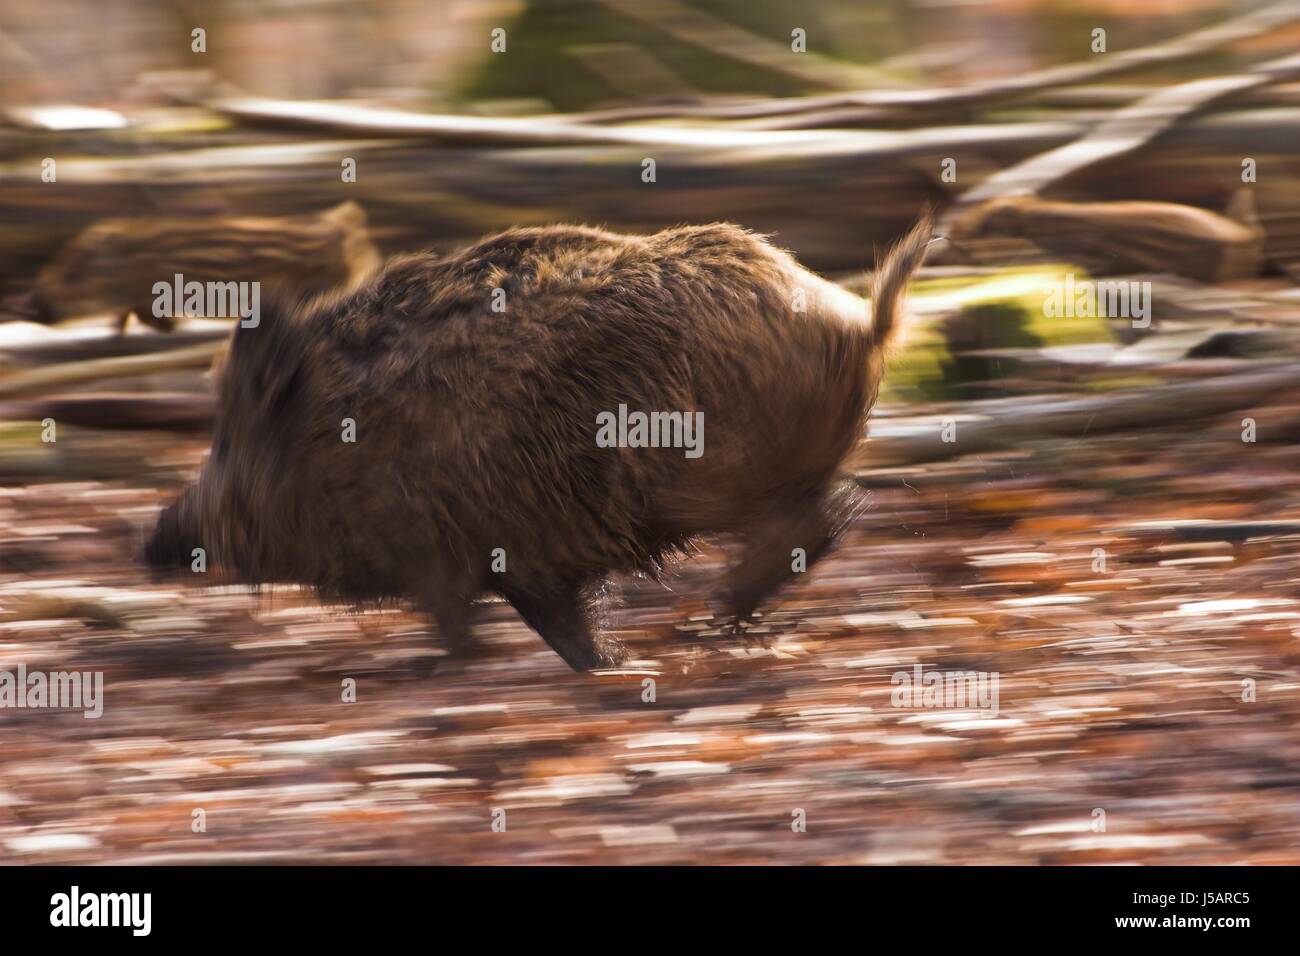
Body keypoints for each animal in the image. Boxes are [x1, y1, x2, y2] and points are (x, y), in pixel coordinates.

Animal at [146, 214, 933, 671]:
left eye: (226, 446)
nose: (152, 539)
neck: (335, 434)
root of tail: (861, 320)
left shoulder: (449, 548)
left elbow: (467, 622)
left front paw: (457, 665)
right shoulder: (524, 555)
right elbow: (560, 621)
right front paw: (610, 662)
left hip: (722, 479)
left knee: (815, 522)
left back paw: (714, 619)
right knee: (829, 514)